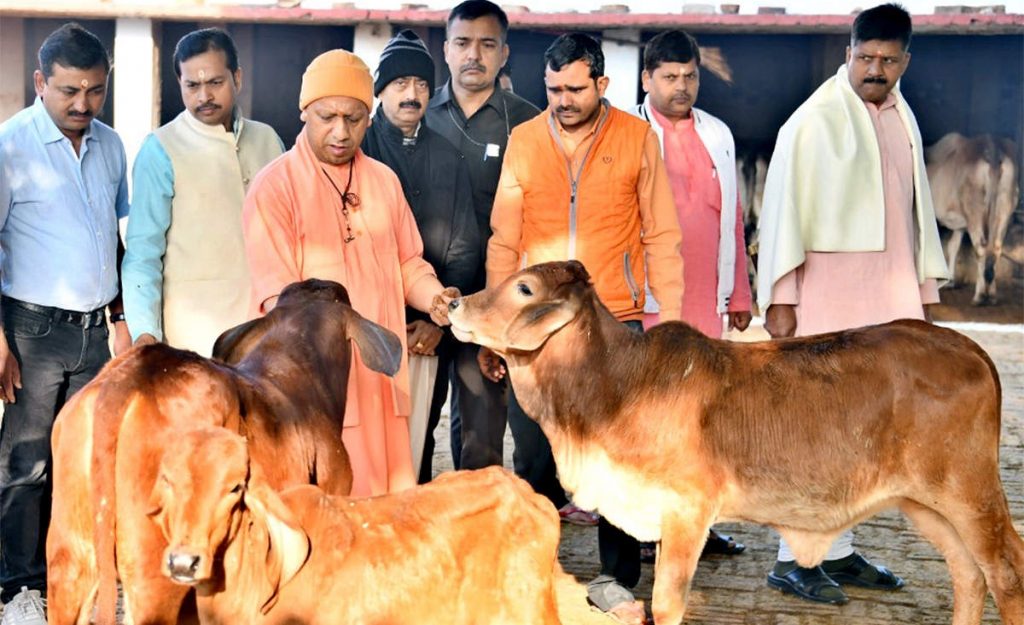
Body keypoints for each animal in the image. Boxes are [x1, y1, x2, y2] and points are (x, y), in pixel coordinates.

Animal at [447, 260, 1024, 625]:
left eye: (524, 288)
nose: (453, 303)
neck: (616, 384)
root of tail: (966, 345)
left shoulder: (686, 512)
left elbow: (667, 603)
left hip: (970, 493)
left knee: (1004, 573)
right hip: (927, 503)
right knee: (968, 576)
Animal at [927, 132, 1020, 305]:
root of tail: (992, 146)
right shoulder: (960, 225)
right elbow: (953, 246)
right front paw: (950, 281)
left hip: (974, 209)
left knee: (981, 249)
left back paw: (979, 296)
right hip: (1005, 204)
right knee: (995, 249)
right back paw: (992, 295)